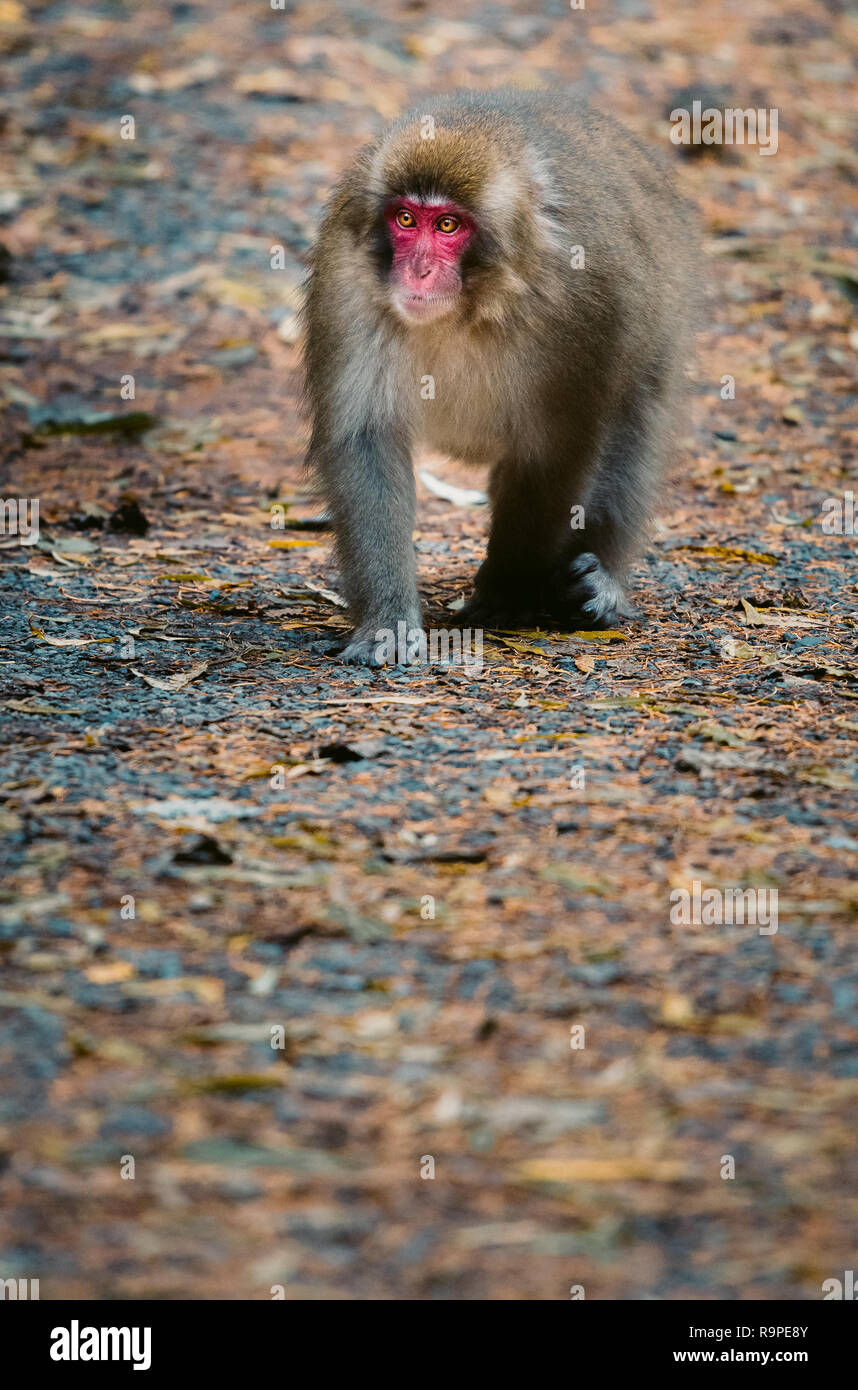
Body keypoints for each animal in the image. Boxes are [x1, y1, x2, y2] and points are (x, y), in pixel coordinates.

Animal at [303, 87, 697, 663]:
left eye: (448, 225)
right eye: (405, 219)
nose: (417, 271)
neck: (474, 303)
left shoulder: (585, 299)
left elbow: (552, 453)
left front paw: (507, 590)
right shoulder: (347, 277)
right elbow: (366, 440)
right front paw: (387, 622)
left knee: (638, 415)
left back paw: (598, 586)